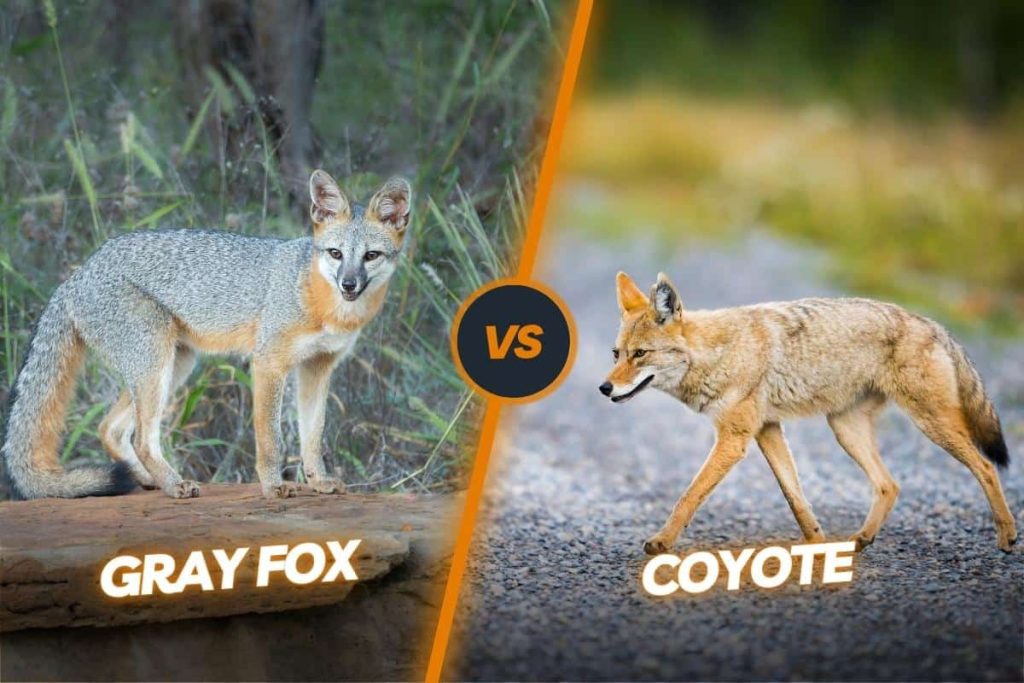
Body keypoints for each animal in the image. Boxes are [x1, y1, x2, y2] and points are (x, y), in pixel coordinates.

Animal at [3, 170, 411, 500]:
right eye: (336, 253)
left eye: (371, 256)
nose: (349, 284)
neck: (324, 304)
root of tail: (77, 274)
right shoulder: (268, 363)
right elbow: (271, 438)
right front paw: (273, 486)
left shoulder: (318, 367)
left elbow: (313, 435)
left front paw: (319, 481)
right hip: (155, 365)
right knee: (142, 438)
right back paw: (172, 484)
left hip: (174, 365)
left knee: (110, 428)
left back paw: (146, 479)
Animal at [600, 271, 1016, 553]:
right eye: (617, 354)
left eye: (640, 355)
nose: (604, 389)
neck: (720, 352)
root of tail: (931, 323)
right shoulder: (767, 430)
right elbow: (795, 497)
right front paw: (816, 544)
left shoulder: (734, 439)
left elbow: (688, 496)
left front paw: (661, 542)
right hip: (845, 429)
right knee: (889, 484)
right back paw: (860, 540)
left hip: (931, 424)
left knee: (985, 467)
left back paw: (1007, 535)